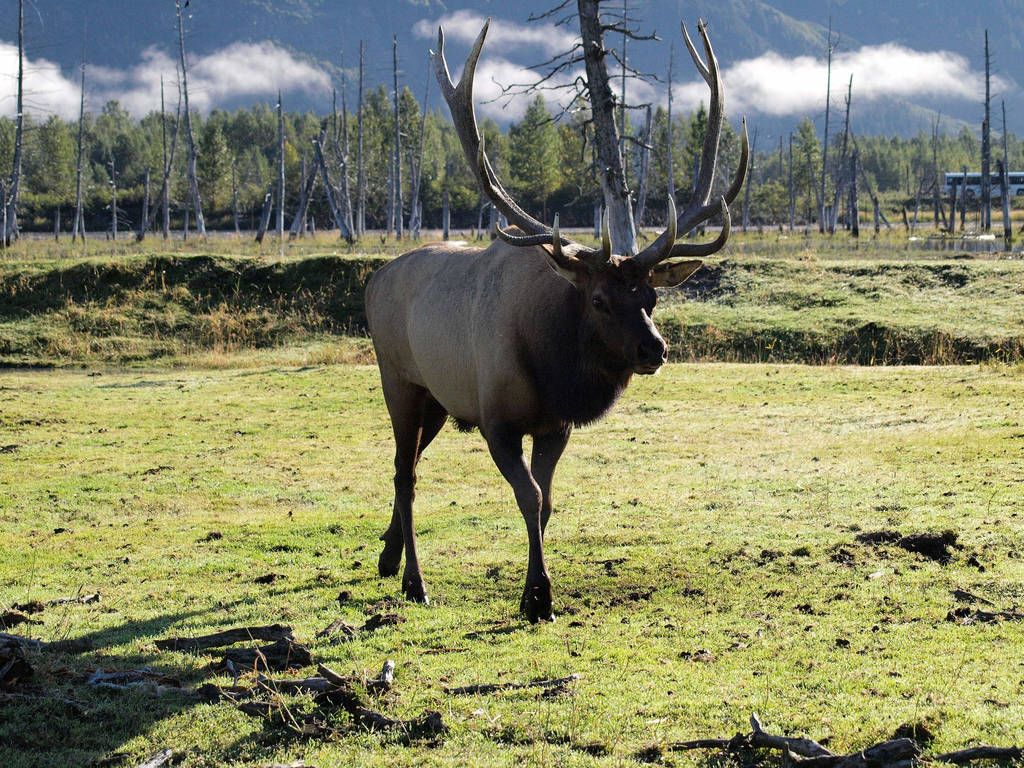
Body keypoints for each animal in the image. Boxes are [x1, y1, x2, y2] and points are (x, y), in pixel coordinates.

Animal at [365, 19, 747, 622]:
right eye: (599, 300)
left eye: (651, 297)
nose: (655, 350)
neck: (551, 369)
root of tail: (372, 282)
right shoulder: (496, 420)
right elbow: (530, 497)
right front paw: (539, 596)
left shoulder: (556, 424)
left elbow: (546, 504)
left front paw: (532, 589)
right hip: (399, 382)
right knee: (406, 474)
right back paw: (414, 581)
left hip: (440, 404)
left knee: (405, 468)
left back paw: (387, 555)